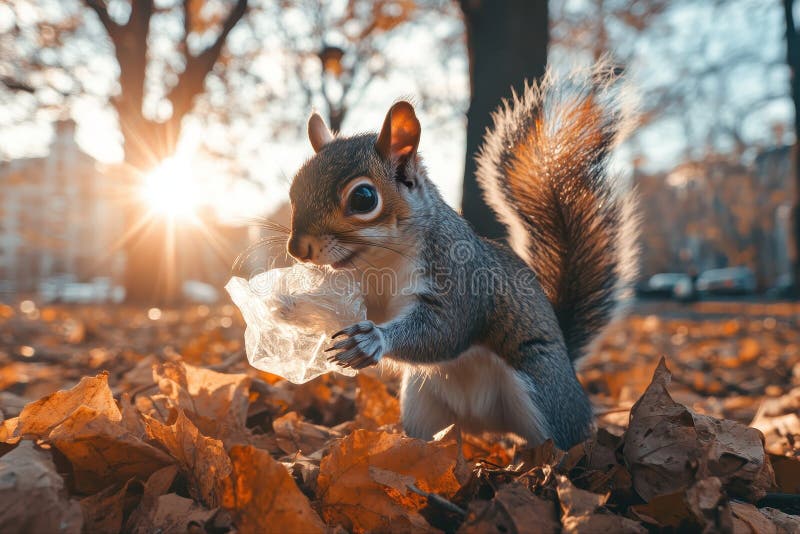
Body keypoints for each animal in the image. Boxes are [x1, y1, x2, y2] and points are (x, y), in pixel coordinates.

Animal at [285, 64, 638, 450]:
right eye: (293, 189)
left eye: (364, 198)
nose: (297, 249)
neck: (378, 262)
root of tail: (483, 426)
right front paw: (293, 303)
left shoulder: (459, 276)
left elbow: (445, 329)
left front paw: (372, 340)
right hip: (421, 401)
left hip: (545, 395)